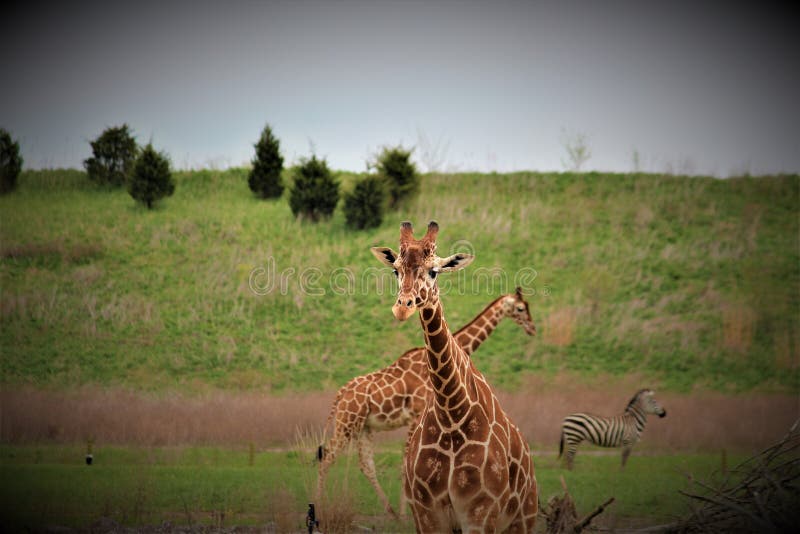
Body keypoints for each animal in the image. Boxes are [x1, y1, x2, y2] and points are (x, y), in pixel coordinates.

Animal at [316, 288, 536, 518]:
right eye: (521, 308)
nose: (532, 328)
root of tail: (340, 394)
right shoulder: (418, 413)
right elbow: (406, 463)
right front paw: (409, 512)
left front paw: (406, 511)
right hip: (347, 423)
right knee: (328, 456)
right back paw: (320, 506)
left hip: (364, 427)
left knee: (366, 465)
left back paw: (391, 513)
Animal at [371, 221, 538, 533]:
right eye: (396, 270)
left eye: (434, 271)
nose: (403, 307)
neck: (451, 414)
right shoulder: (428, 515)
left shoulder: (479, 513)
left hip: (523, 519)